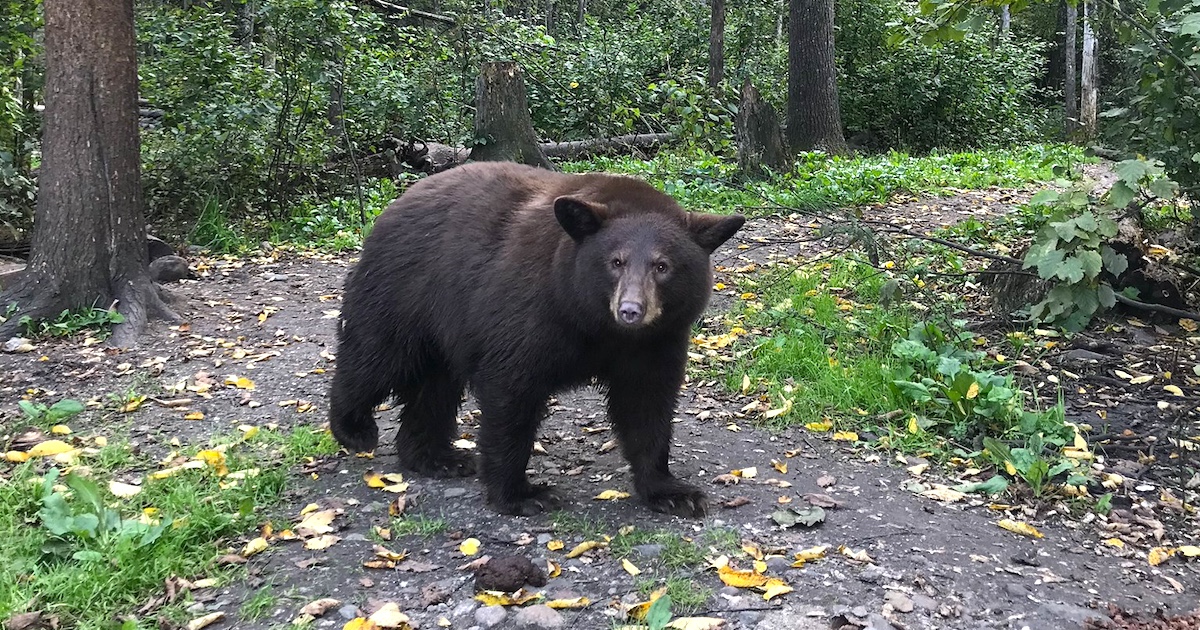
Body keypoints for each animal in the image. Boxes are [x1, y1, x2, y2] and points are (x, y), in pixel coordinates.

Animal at [328, 161, 744, 517]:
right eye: (616, 261)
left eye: (662, 265)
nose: (631, 310)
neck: (596, 325)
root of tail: (396, 203)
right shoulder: (531, 312)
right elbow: (512, 393)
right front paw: (522, 494)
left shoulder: (657, 341)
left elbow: (647, 405)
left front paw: (673, 492)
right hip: (405, 291)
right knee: (375, 358)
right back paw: (355, 429)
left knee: (435, 388)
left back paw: (436, 457)